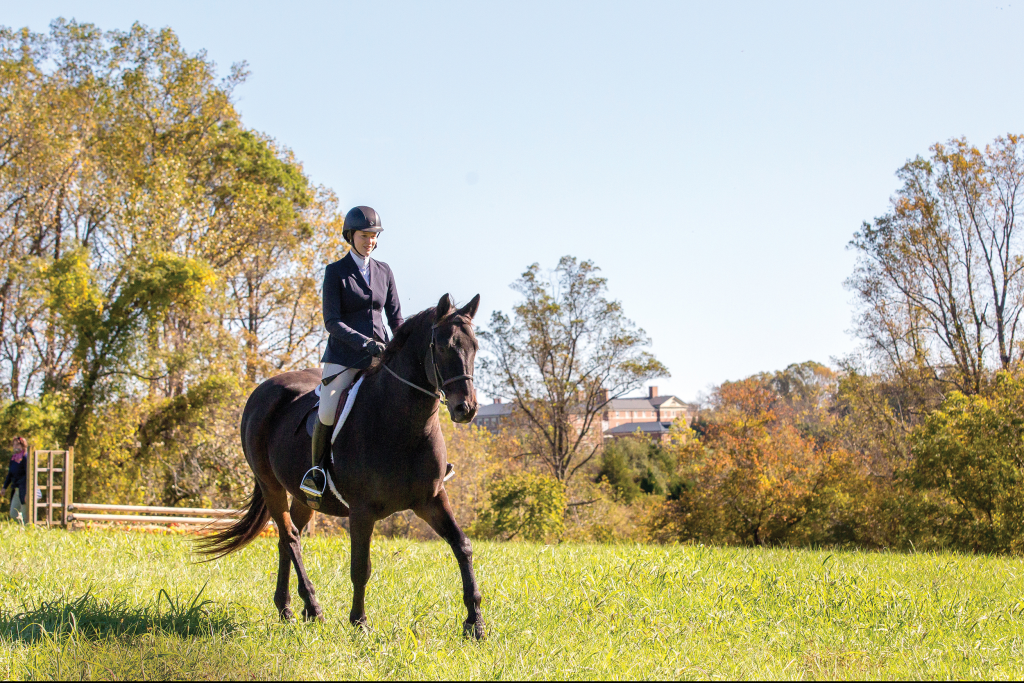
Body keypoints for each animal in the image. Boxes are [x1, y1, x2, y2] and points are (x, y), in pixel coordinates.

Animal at [198, 293, 485, 639]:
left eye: (474, 347)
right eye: (442, 347)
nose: (465, 408)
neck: (402, 424)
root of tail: (263, 390)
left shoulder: (431, 500)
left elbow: (462, 546)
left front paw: (475, 622)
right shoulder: (362, 510)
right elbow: (361, 566)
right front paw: (359, 623)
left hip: (304, 496)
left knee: (286, 538)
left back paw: (288, 609)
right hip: (270, 486)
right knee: (290, 537)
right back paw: (313, 607)